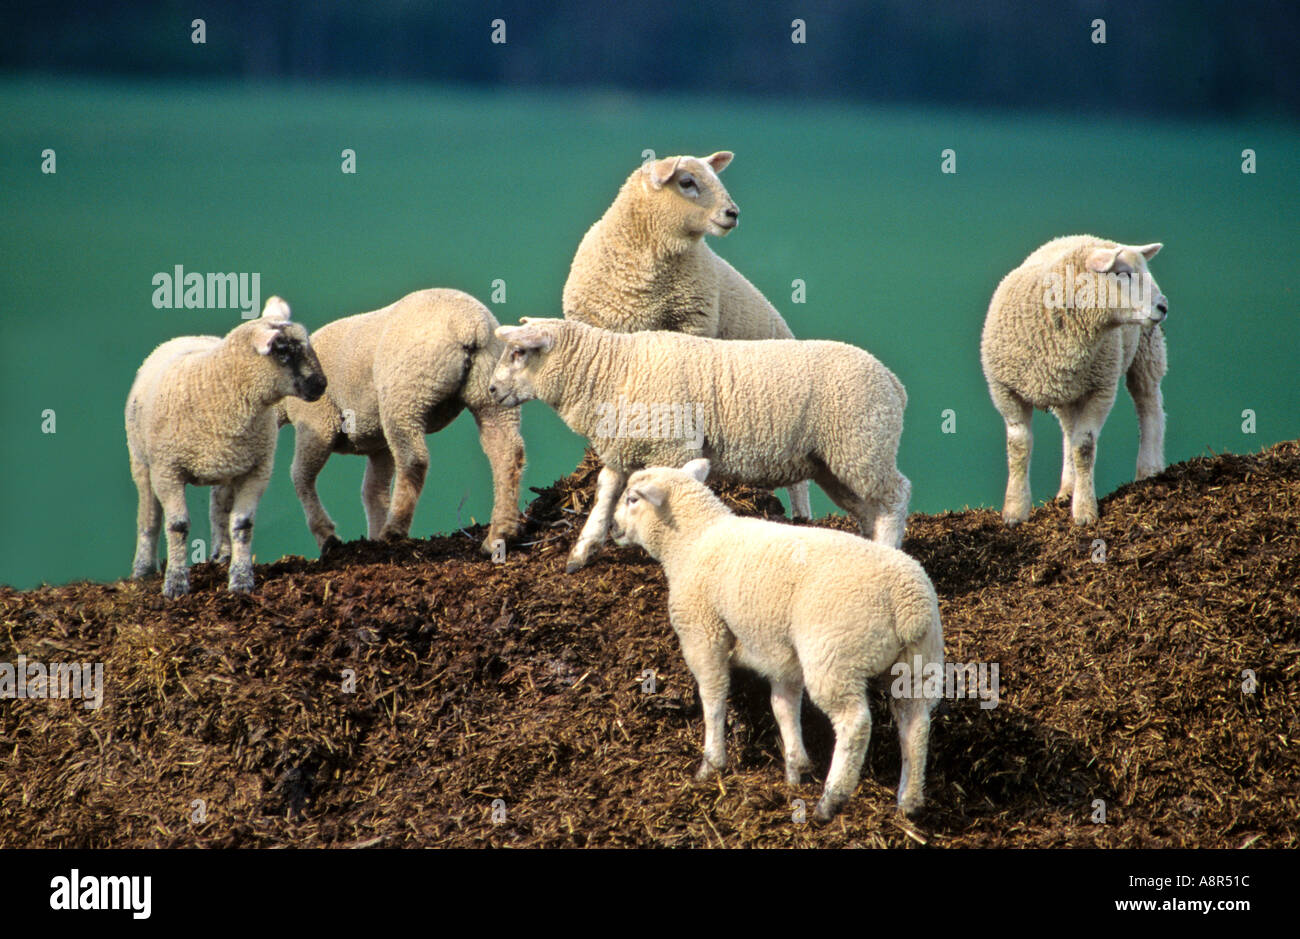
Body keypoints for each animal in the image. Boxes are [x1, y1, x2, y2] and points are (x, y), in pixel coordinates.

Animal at [126, 297, 327, 597]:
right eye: (282, 352)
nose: (321, 385)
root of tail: (189, 336)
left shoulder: (257, 470)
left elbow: (242, 524)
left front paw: (241, 580)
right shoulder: (168, 470)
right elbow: (177, 526)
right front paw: (176, 583)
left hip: (228, 464)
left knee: (218, 507)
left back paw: (222, 554)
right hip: (141, 460)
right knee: (148, 516)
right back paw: (142, 570)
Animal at [278, 288, 525, 555]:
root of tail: (470, 324)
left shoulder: (316, 419)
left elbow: (301, 477)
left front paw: (328, 537)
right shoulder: (379, 445)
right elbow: (373, 490)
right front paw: (372, 536)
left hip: (406, 394)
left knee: (414, 459)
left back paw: (394, 530)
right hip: (492, 388)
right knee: (507, 451)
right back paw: (500, 534)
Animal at [488, 317, 910, 573]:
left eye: (519, 352)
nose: (491, 390)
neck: (612, 371)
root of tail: (893, 381)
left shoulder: (673, 448)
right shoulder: (624, 448)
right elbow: (605, 492)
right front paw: (582, 550)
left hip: (860, 444)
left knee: (896, 495)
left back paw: (889, 549)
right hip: (835, 461)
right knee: (869, 508)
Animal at [611, 458, 944, 820]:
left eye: (632, 499)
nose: (612, 528)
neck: (692, 540)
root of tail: (907, 604)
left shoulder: (703, 631)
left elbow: (713, 695)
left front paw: (711, 765)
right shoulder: (781, 653)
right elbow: (784, 706)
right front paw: (796, 769)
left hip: (833, 655)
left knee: (855, 723)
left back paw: (832, 799)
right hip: (918, 662)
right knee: (915, 723)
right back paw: (909, 801)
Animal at [981, 235, 1169, 526]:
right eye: (1123, 273)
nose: (1163, 306)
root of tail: (1087, 237)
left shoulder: (1101, 389)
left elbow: (1084, 446)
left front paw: (1084, 511)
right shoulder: (1005, 389)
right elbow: (1019, 446)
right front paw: (1015, 510)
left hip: (1146, 347)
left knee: (1149, 406)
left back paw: (1148, 471)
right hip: (1068, 389)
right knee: (1068, 429)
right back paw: (1067, 488)